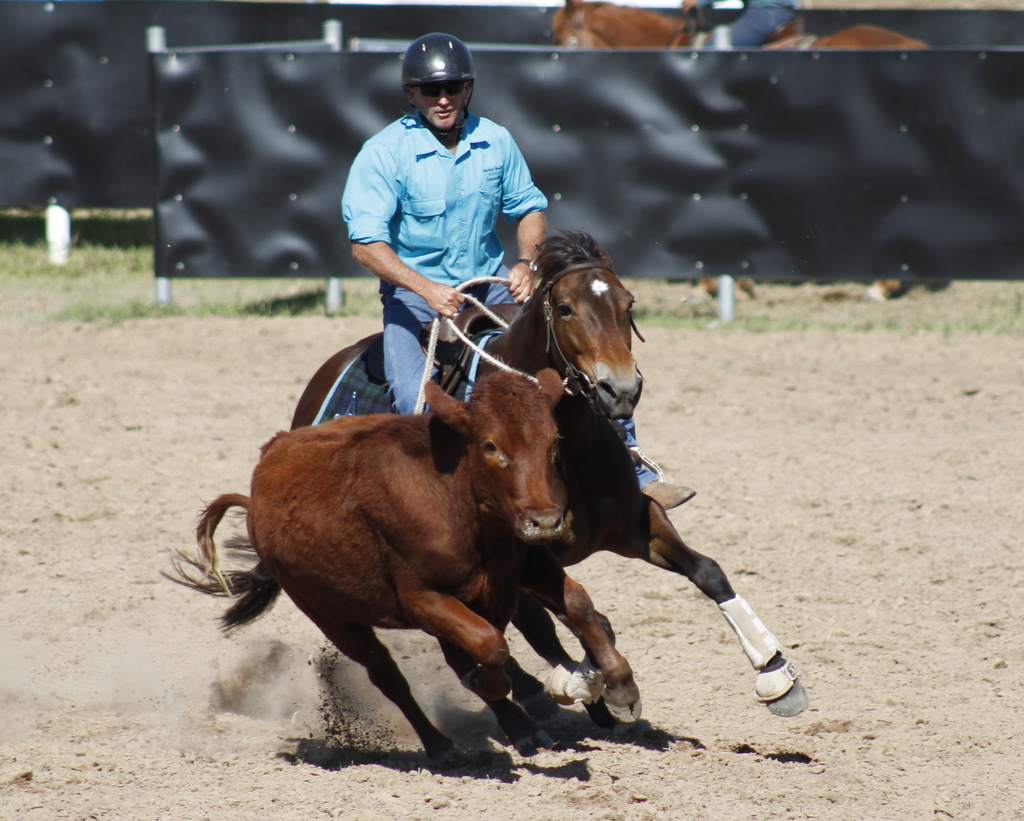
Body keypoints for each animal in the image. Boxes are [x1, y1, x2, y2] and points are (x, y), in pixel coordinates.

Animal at [170, 370, 642, 766]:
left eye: (553, 442)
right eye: (491, 446)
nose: (545, 521)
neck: (456, 501)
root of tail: (257, 489)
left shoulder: (525, 565)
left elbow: (578, 604)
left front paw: (621, 685)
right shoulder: (422, 598)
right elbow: (490, 646)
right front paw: (492, 686)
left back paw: (520, 727)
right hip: (331, 615)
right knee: (389, 676)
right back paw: (442, 744)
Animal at [289, 230, 809, 723]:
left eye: (628, 304)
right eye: (565, 308)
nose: (621, 390)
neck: (567, 452)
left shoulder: (636, 524)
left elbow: (708, 572)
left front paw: (775, 673)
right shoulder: (519, 554)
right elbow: (564, 616)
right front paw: (596, 685)